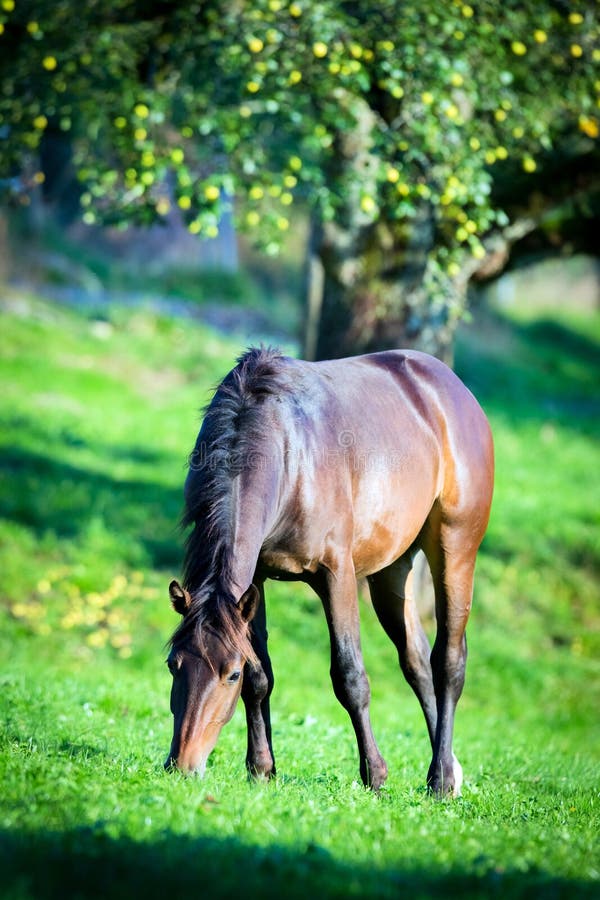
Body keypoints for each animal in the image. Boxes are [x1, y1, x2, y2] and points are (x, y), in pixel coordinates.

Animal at [165, 346, 494, 795]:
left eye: (229, 675)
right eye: (173, 664)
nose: (181, 766)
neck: (286, 451)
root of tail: (451, 387)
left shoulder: (335, 574)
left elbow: (350, 676)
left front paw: (375, 773)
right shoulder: (253, 583)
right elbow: (261, 676)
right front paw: (261, 768)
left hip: (455, 550)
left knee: (449, 662)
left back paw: (441, 778)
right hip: (392, 572)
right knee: (417, 662)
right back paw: (451, 771)